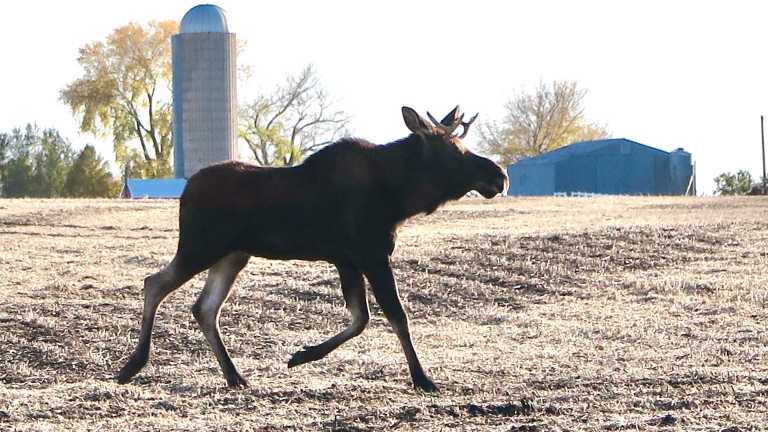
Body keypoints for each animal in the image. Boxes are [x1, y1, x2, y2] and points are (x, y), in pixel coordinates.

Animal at [116, 106, 509, 392]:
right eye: (455, 150)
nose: (500, 175)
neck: (400, 197)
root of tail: (185, 191)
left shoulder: (347, 260)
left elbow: (361, 318)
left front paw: (300, 356)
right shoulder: (370, 254)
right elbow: (396, 316)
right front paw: (423, 378)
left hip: (232, 255)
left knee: (204, 307)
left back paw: (234, 375)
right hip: (201, 246)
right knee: (155, 283)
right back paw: (132, 365)